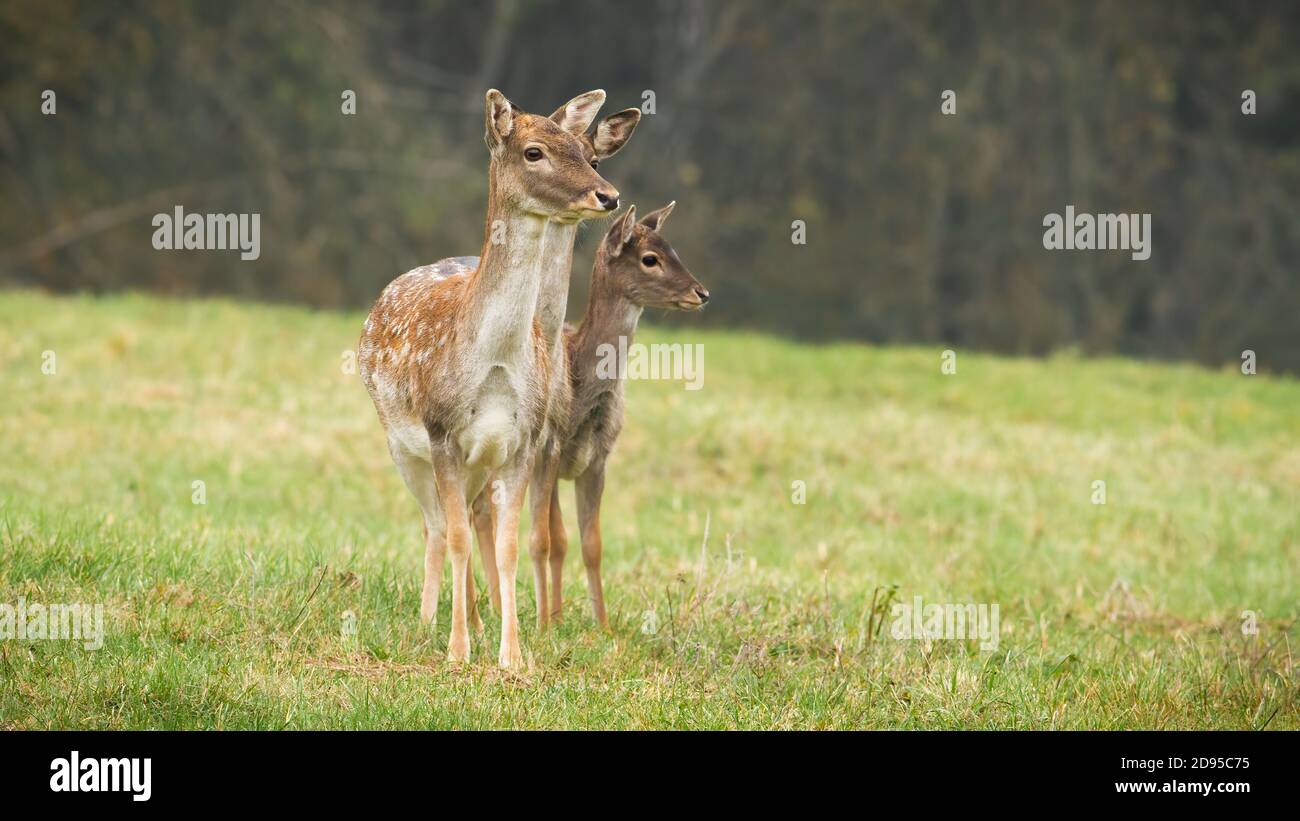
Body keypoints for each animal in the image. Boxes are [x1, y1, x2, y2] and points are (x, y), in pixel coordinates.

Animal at [357, 89, 629, 668]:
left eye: (586, 152)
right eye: (534, 152)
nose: (608, 196)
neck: (497, 364)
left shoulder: (522, 439)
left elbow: (508, 544)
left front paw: (512, 656)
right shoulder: (441, 433)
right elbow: (458, 536)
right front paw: (457, 652)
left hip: (478, 460)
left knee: (463, 517)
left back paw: (477, 624)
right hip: (400, 443)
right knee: (436, 524)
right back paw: (427, 622)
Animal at [529, 202, 709, 627]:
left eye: (674, 249)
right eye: (650, 259)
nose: (702, 292)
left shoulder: (599, 458)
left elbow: (590, 544)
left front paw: (602, 624)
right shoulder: (552, 454)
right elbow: (556, 540)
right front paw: (551, 620)